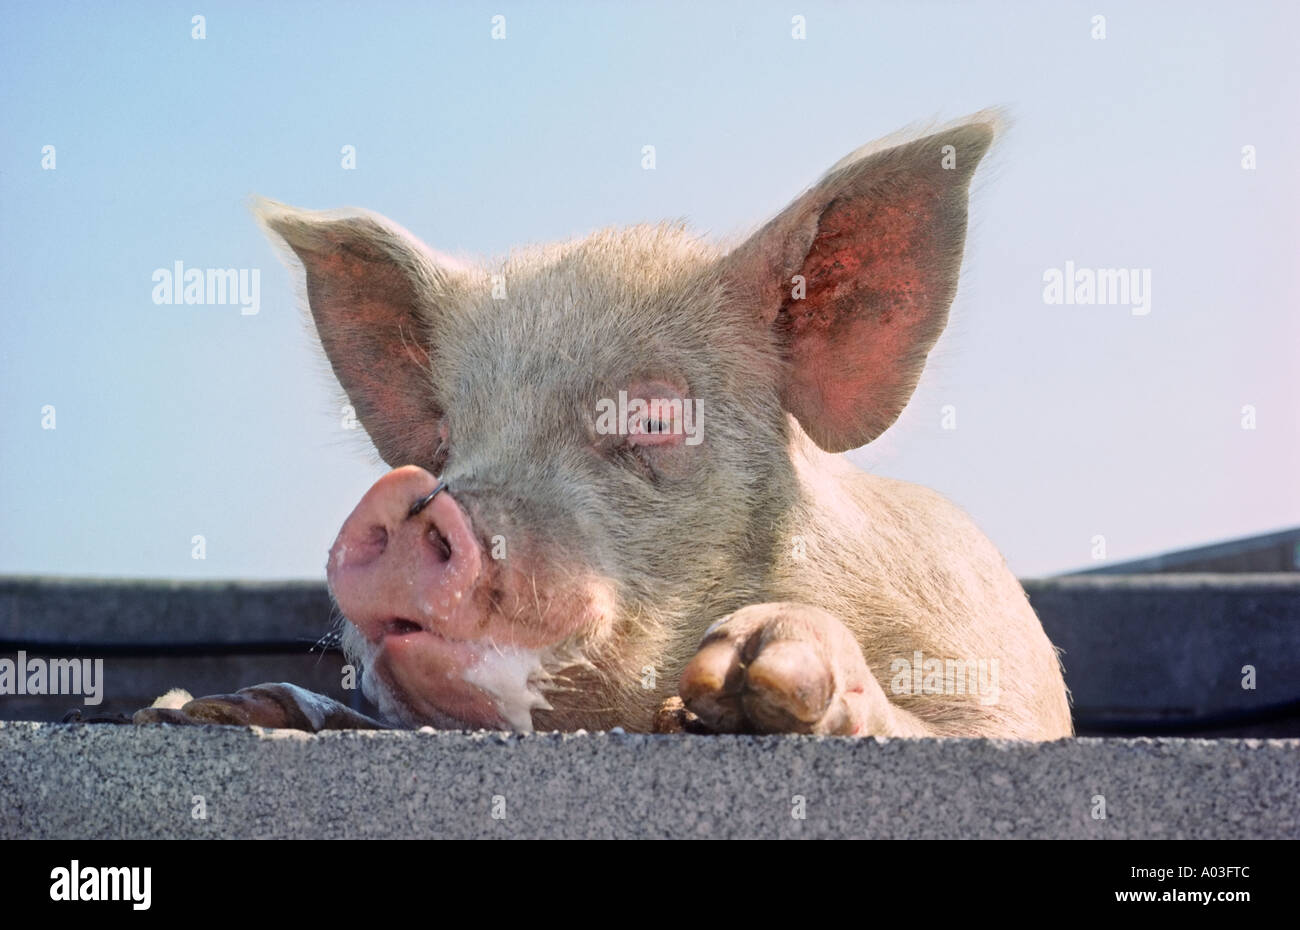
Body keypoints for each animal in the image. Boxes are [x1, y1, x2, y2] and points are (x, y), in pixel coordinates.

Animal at [136, 112, 1073, 739]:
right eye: (447, 439)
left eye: (653, 417)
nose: (405, 500)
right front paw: (203, 711)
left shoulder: (995, 668)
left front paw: (755, 667)